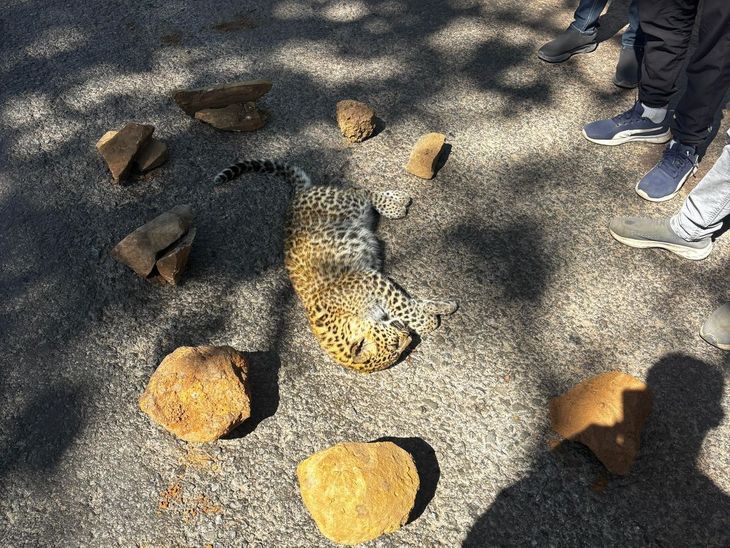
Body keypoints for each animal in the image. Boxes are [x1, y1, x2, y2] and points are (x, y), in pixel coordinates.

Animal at [213, 159, 457, 372]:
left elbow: (404, 306)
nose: (408, 337)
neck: (344, 317)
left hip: (347, 206)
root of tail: (298, 196)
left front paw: (427, 321)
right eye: (397, 348)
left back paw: (397, 203)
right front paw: (439, 309)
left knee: (361, 191)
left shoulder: (372, 280)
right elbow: (407, 304)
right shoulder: (377, 286)